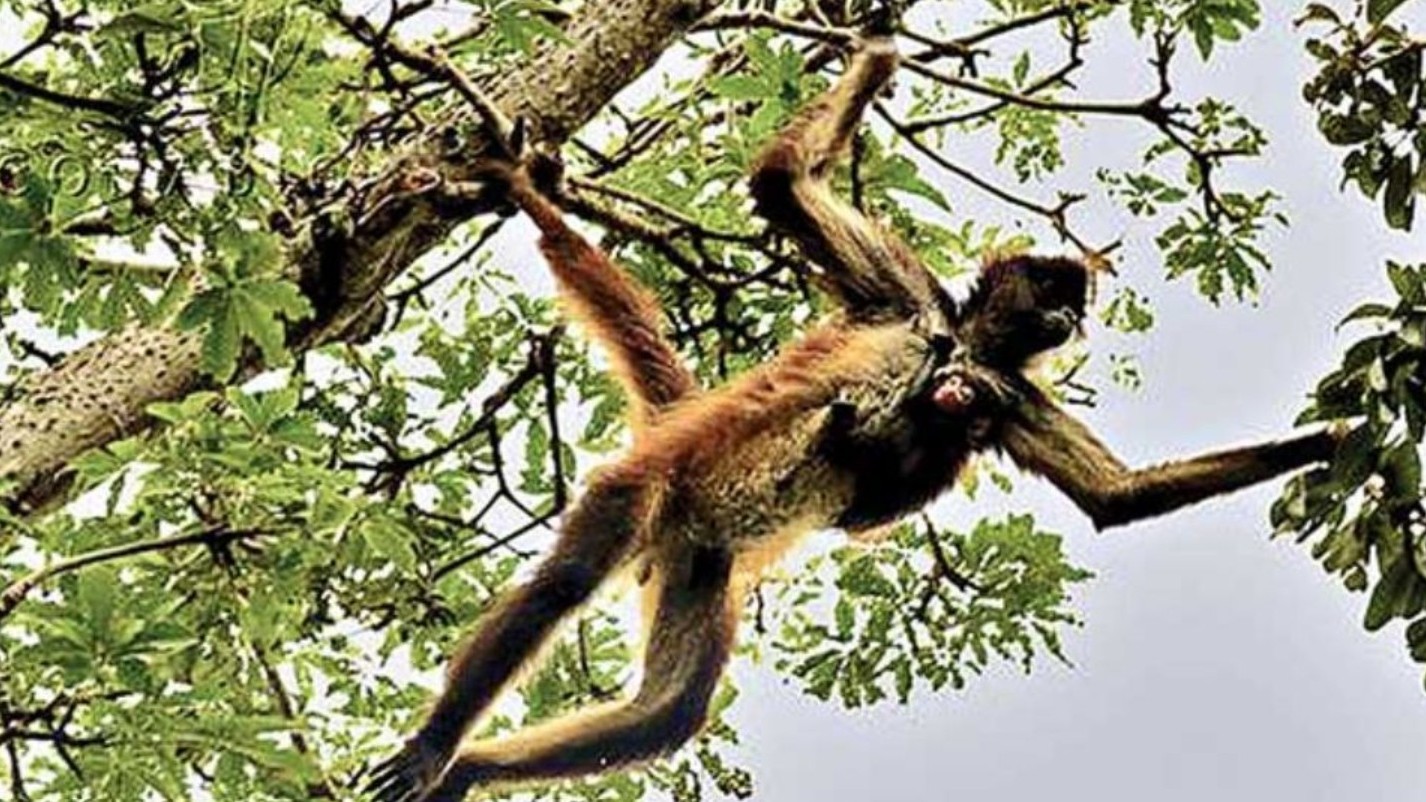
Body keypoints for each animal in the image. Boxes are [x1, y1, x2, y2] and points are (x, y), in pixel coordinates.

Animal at [366, 35, 1341, 802]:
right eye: (1054, 296)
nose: (1070, 321)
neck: (961, 341)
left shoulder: (1013, 395)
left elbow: (1118, 496)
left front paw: (1332, 439)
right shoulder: (904, 296)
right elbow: (781, 184)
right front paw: (877, 44)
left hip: (698, 555)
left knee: (658, 718)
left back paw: (470, 769)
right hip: (650, 487)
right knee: (567, 585)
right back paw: (436, 747)